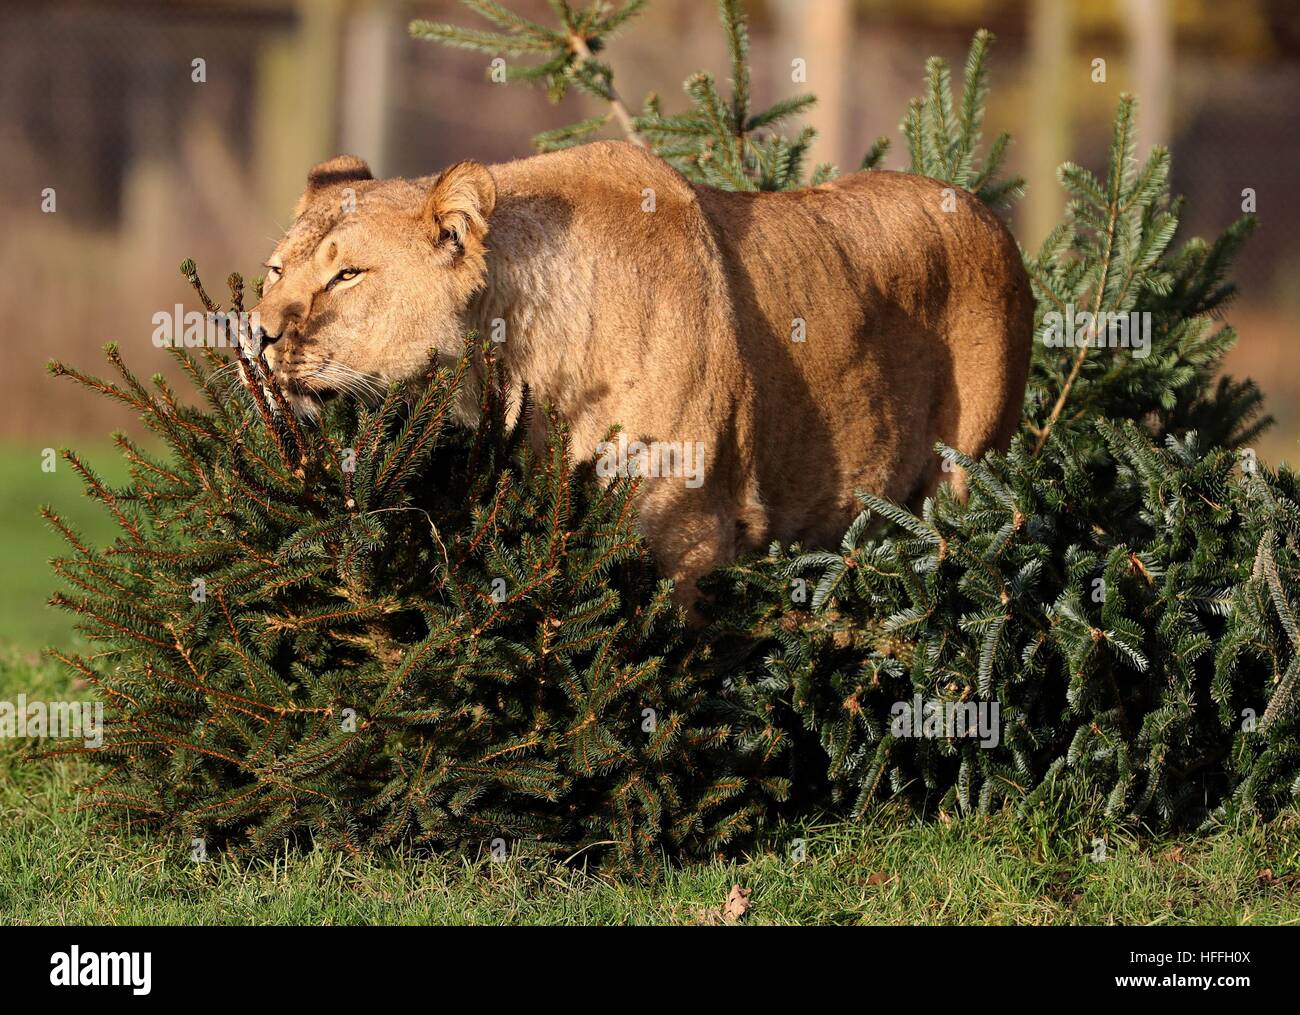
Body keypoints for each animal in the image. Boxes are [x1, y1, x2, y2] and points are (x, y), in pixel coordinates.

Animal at [253, 141, 1033, 609]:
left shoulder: (688, 530)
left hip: (968, 473)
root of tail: (986, 208)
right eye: (276, 271)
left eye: (348, 275)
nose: (255, 334)